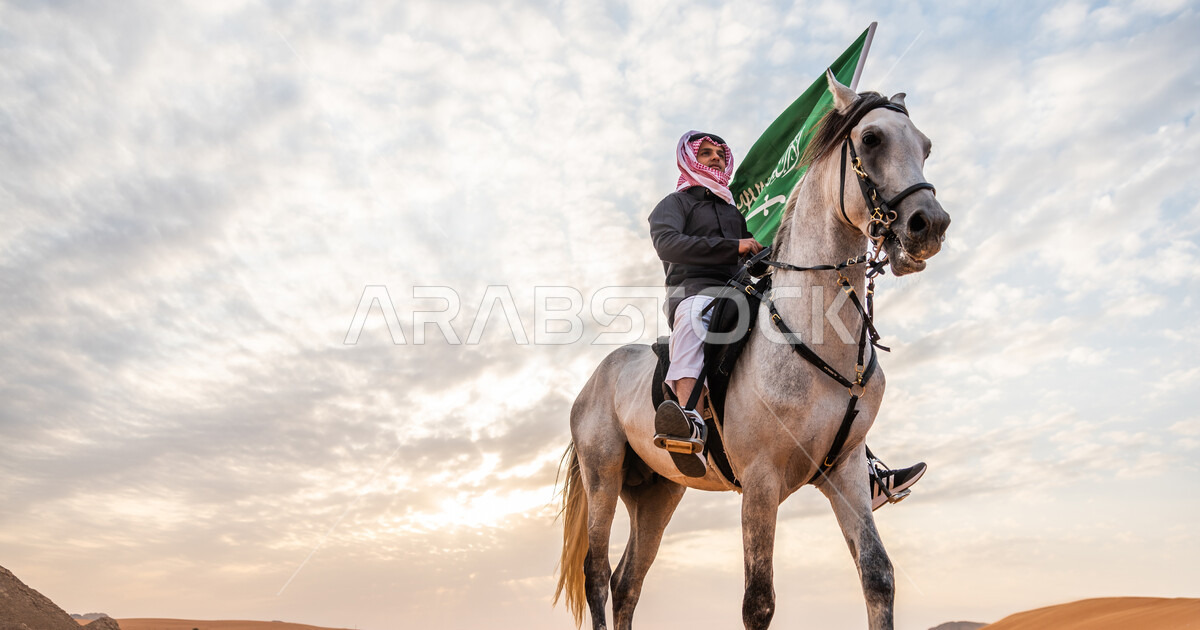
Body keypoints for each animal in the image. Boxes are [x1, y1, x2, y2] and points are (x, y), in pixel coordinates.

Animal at [554, 71, 951, 630]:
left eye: (926, 146)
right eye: (872, 139)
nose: (928, 225)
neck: (817, 332)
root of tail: (594, 381)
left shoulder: (846, 472)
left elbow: (878, 576)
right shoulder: (761, 484)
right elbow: (758, 601)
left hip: (658, 493)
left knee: (626, 581)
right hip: (602, 476)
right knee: (595, 573)